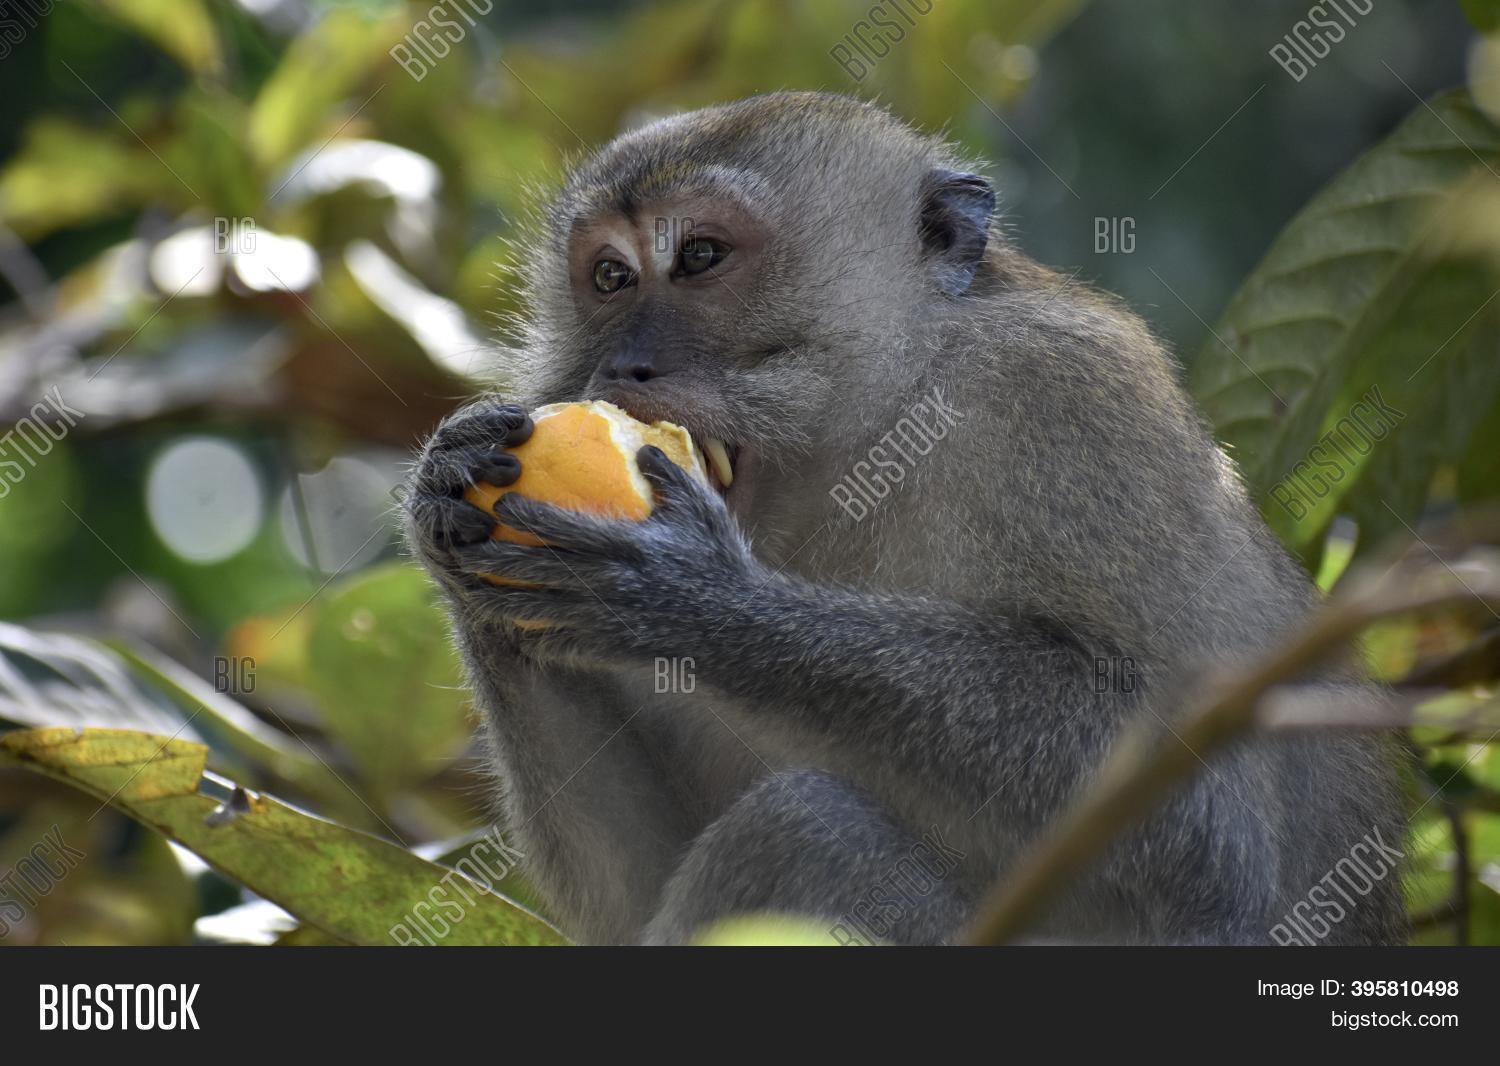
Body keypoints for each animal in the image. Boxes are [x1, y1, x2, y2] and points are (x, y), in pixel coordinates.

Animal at [402, 91, 1407, 945]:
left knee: (804, 830)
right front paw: (448, 501)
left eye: (700, 257)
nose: (623, 366)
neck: (876, 435)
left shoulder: (1074, 405)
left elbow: (1207, 827)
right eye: (610, 276)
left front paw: (692, 602)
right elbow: (630, 896)